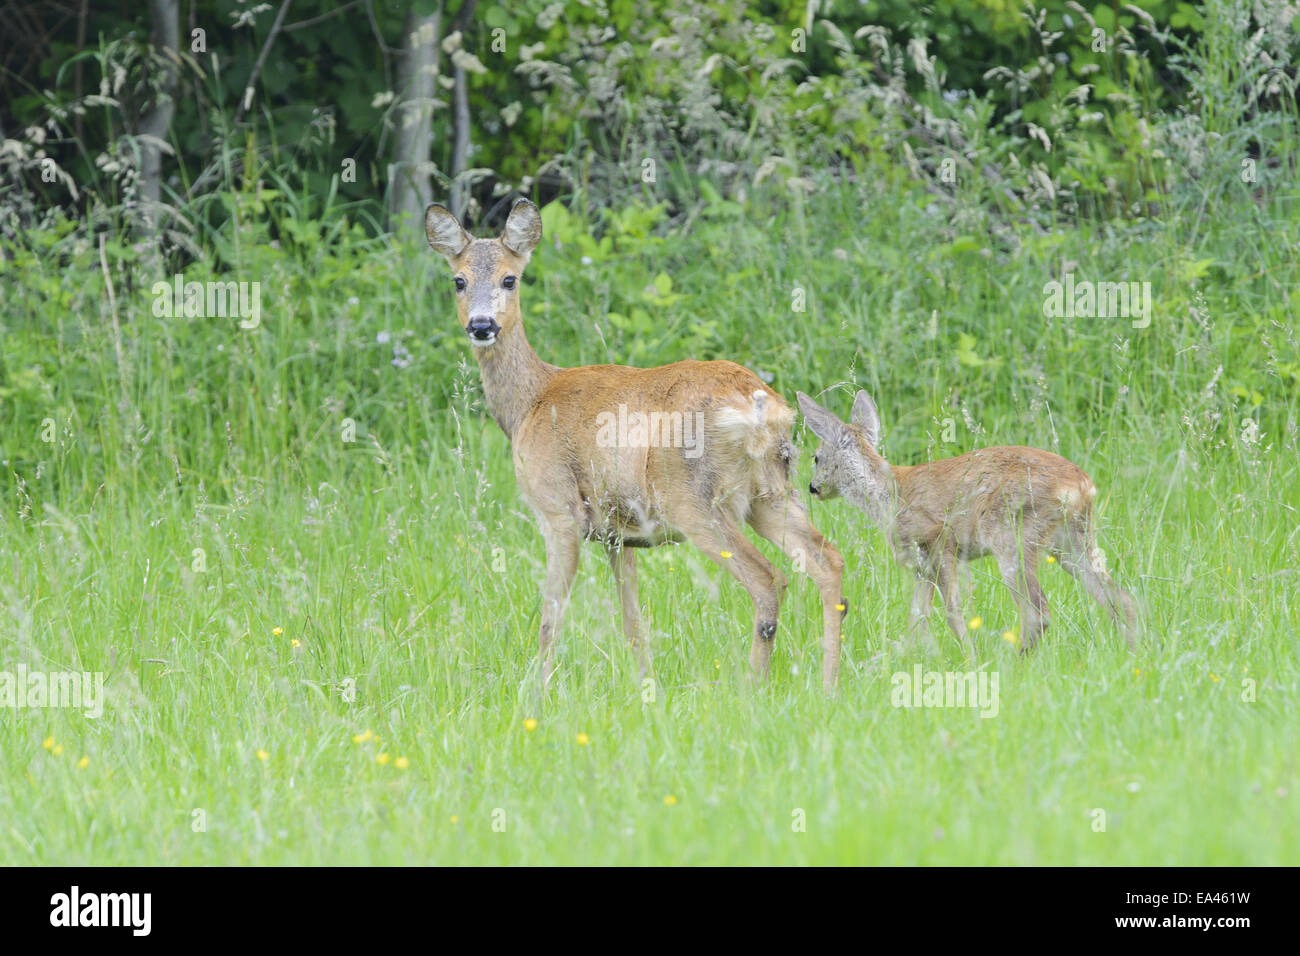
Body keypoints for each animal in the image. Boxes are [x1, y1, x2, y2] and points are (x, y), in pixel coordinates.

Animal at [424, 199, 847, 690]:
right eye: (458, 280)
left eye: (510, 278)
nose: (481, 325)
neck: (529, 402)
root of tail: (764, 407)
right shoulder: (616, 533)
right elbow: (632, 621)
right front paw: (645, 685)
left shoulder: (559, 509)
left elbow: (551, 616)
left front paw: (538, 692)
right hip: (771, 492)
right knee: (828, 561)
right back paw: (829, 686)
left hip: (693, 498)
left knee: (768, 579)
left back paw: (752, 689)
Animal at [796, 389, 1137, 656]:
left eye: (816, 457)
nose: (813, 487)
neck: (887, 495)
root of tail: (1082, 487)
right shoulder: (921, 566)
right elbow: (917, 618)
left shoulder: (940, 543)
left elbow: (952, 613)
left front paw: (969, 657)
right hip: (1072, 542)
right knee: (1120, 598)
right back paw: (1134, 652)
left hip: (1014, 538)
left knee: (1039, 613)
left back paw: (1011, 660)